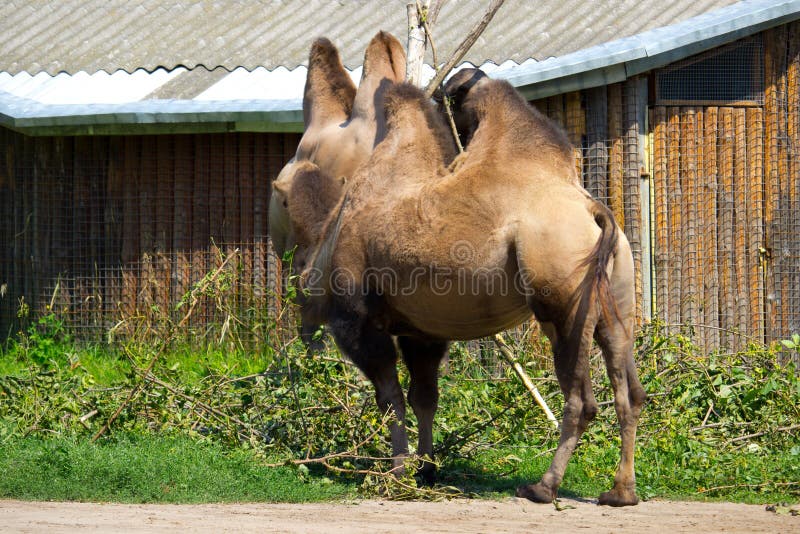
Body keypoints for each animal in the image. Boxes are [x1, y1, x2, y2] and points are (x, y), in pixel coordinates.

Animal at [270, 36, 645, 506]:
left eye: (278, 191)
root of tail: (596, 212)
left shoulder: (357, 319)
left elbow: (389, 397)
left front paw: (397, 474)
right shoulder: (422, 331)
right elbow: (424, 397)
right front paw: (427, 469)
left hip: (560, 302)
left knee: (582, 399)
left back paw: (543, 486)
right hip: (616, 297)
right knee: (630, 389)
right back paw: (621, 491)